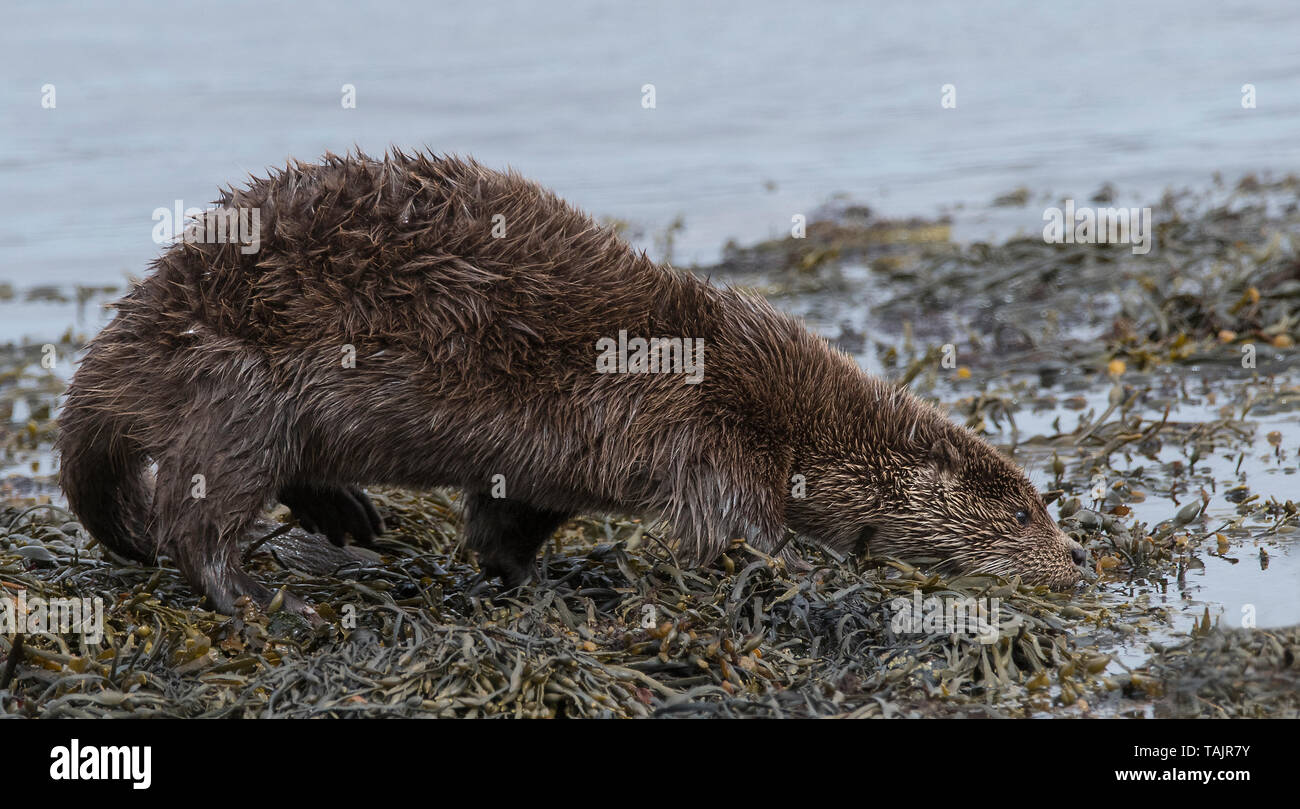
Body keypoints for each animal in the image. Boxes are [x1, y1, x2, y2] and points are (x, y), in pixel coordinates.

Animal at [56, 150, 1084, 617]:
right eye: (1023, 509)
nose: (1077, 557)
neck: (785, 410)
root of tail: (139, 320)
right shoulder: (720, 441)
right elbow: (734, 533)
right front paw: (803, 576)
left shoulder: (552, 462)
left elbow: (505, 520)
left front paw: (528, 581)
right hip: (239, 388)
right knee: (195, 514)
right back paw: (261, 594)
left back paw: (350, 518)